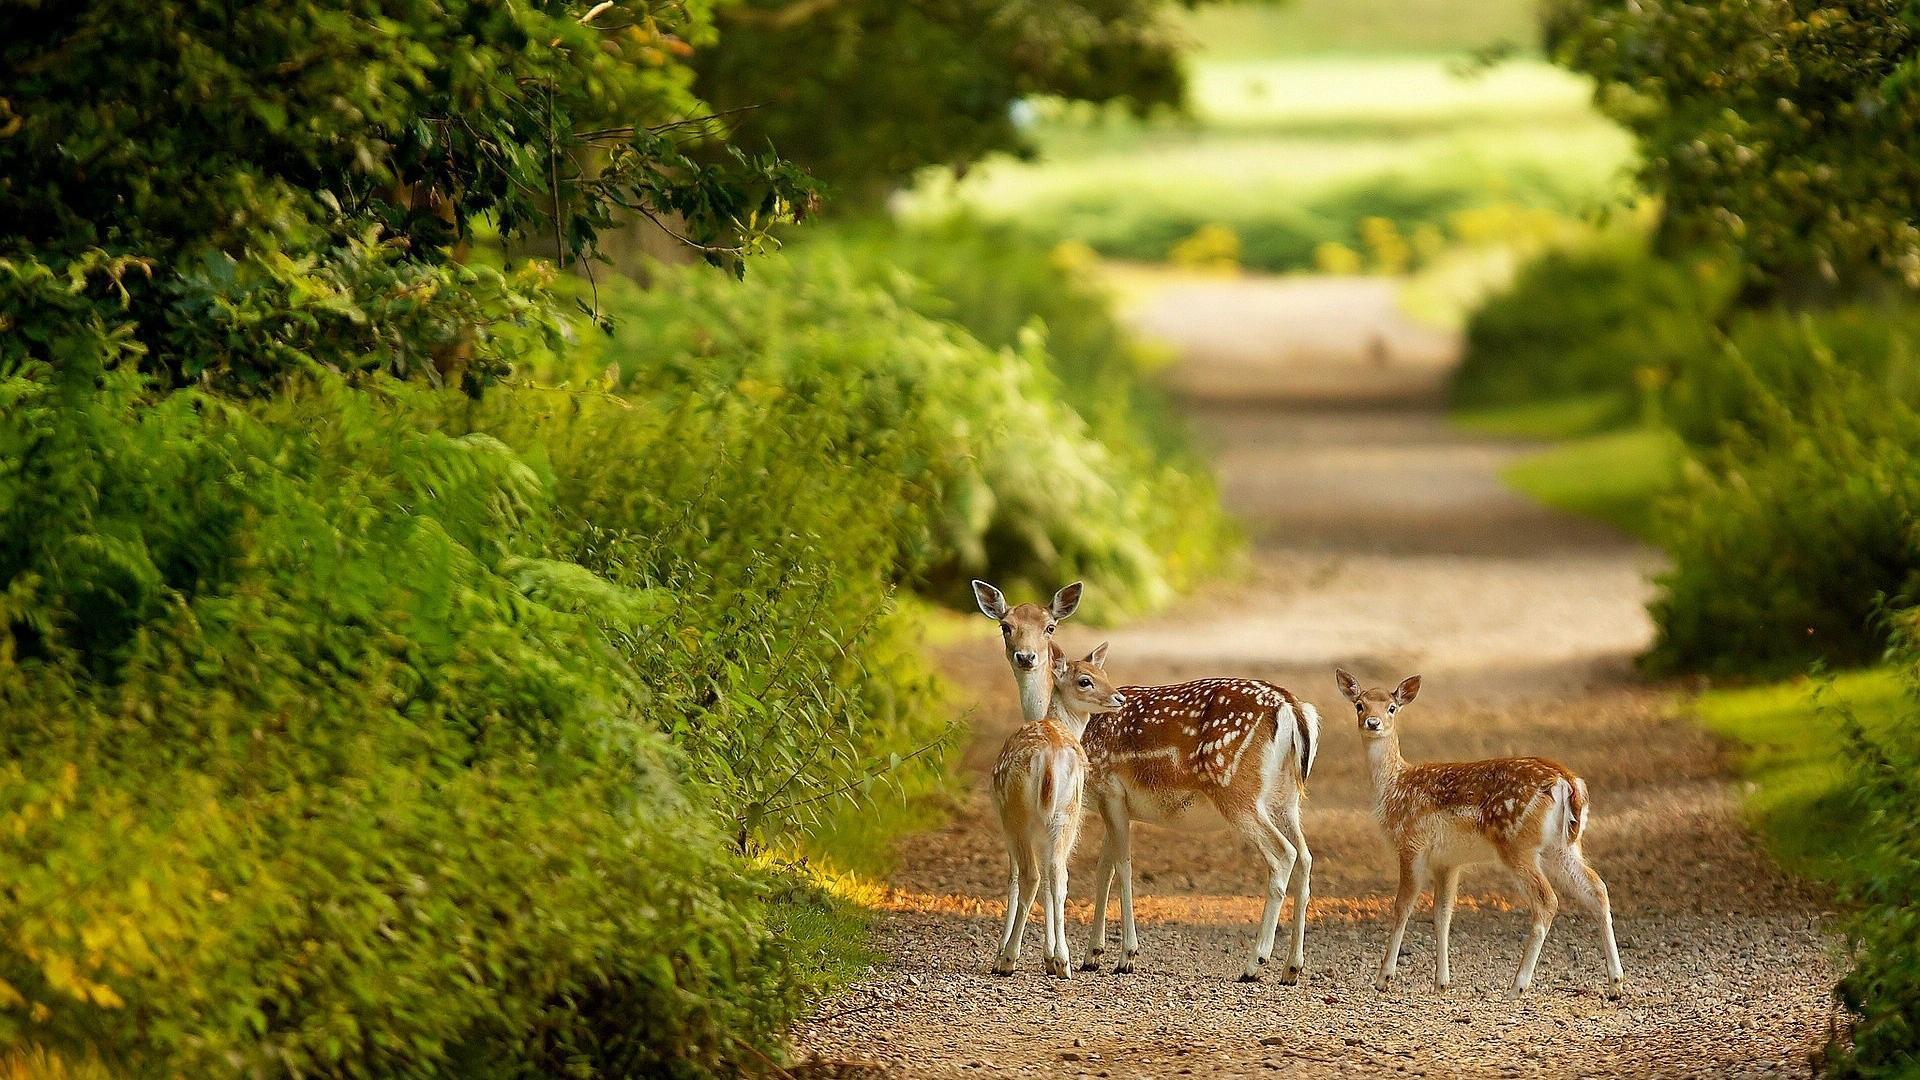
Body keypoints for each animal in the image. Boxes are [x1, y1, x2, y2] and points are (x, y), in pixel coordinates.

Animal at [988, 642, 1127, 977]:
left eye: (1104, 673)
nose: (1119, 698)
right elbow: (1053, 882)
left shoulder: (1007, 821)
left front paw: (1006, 953)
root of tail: (1049, 758)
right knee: (1058, 876)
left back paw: (1008, 958)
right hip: (1067, 813)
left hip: (1019, 814)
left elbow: (1013, 878)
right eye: (1086, 680)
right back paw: (1064, 961)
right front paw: (1050, 957)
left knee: (1031, 876)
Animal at [1335, 668, 1624, 998]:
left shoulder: (1411, 844)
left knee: (1547, 901)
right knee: (1597, 889)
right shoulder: (1448, 861)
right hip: (1562, 846)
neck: (1394, 786)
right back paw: (1615, 983)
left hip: (1516, 844)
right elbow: (1442, 913)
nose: (1373, 723)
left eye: (1392, 707)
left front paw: (1384, 977)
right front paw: (1441, 982)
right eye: (1359, 704)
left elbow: (1402, 906)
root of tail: (1568, 782)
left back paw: (1517, 986)